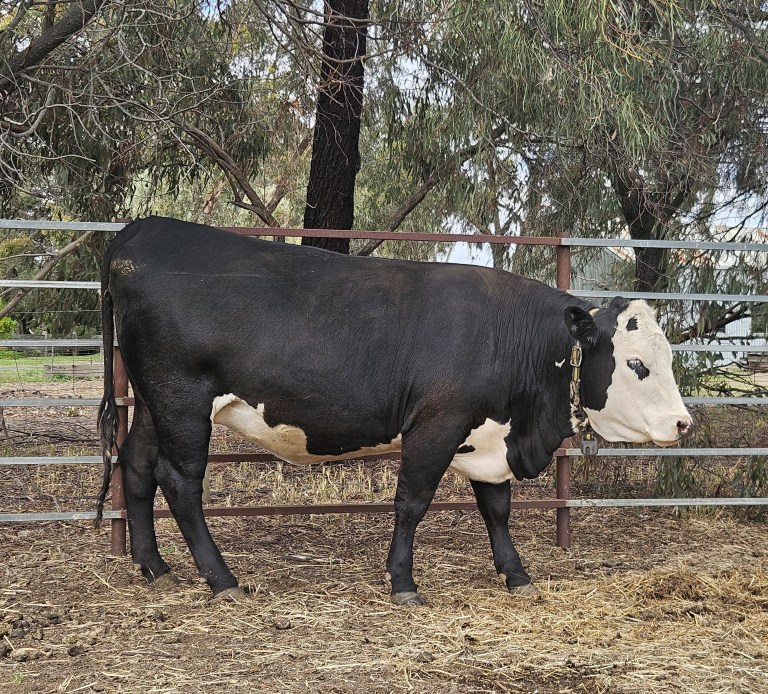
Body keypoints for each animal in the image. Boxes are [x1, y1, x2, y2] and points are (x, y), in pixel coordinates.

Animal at [96, 216, 692, 605]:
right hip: (182, 399)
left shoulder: (491, 436)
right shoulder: (436, 426)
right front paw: (403, 583)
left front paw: (516, 575)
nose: (683, 422)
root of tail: (141, 229)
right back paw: (221, 580)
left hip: (152, 402)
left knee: (137, 464)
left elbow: (497, 509)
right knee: (181, 480)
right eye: (636, 363)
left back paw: (154, 566)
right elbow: (412, 503)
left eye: (667, 357)